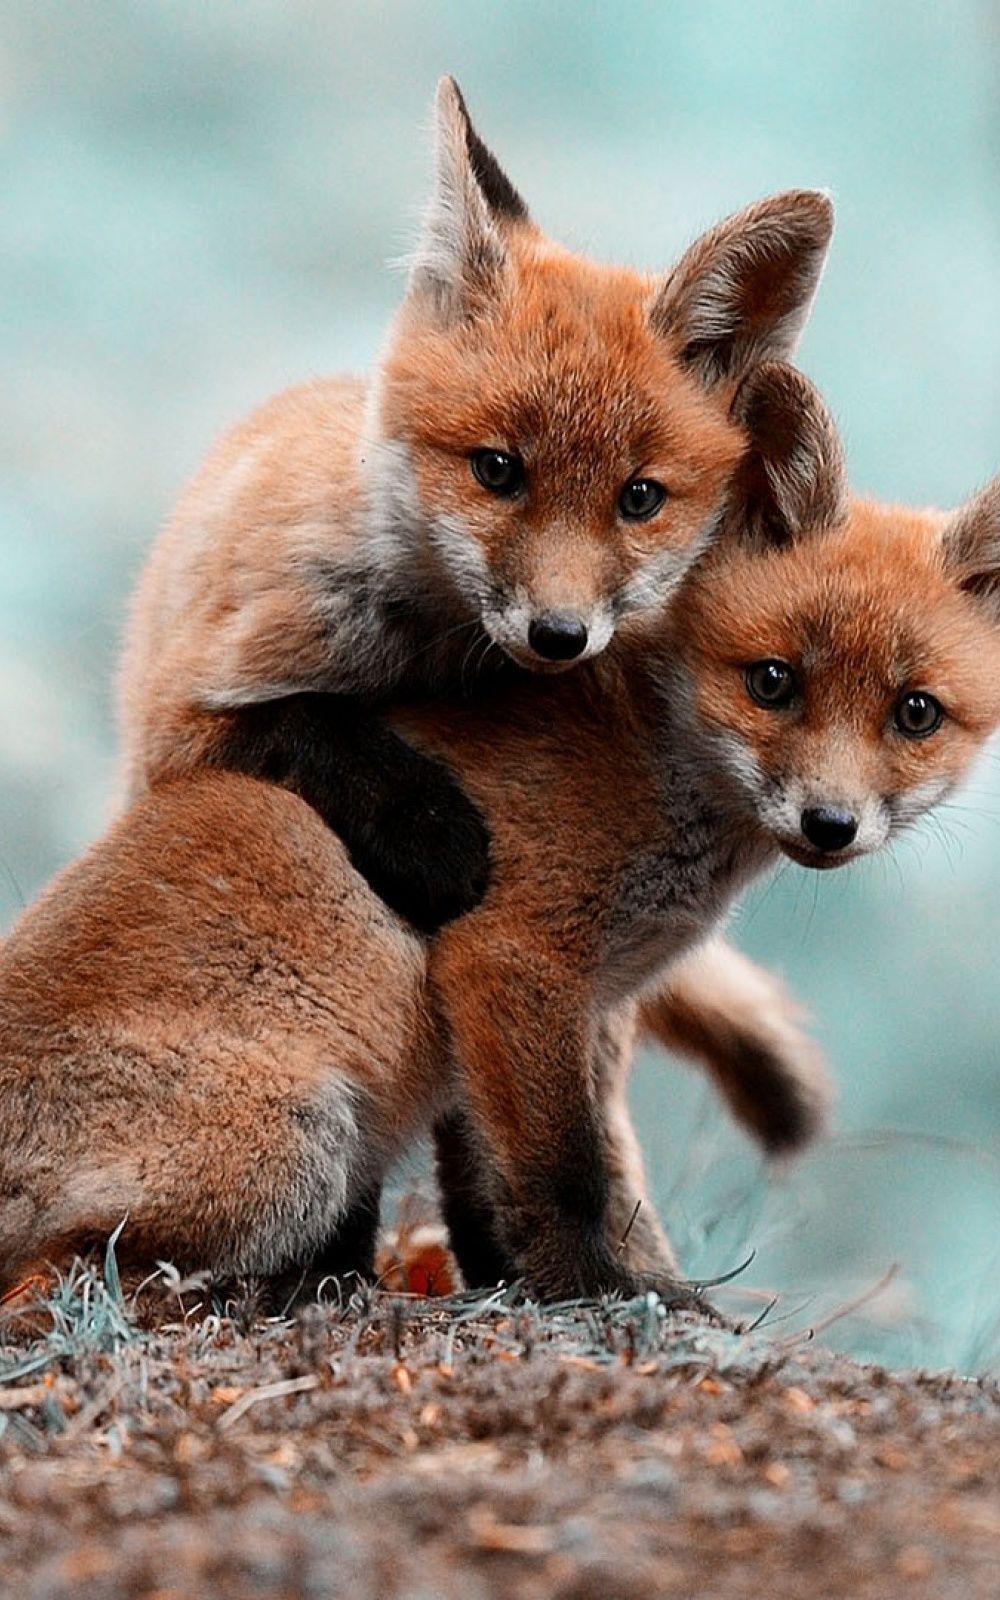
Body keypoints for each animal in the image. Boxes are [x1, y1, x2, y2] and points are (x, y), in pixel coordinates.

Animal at [4, 364, 999, 1303]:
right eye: (773, 682)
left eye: (915, 713)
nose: (830, 825)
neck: (649, 756)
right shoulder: (511, 961)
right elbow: (565, 1176)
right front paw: (590, 1289)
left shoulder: (573, 1013)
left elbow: (533, 1182)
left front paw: (603, 1287)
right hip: (299, 1143)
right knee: (56, 1279)